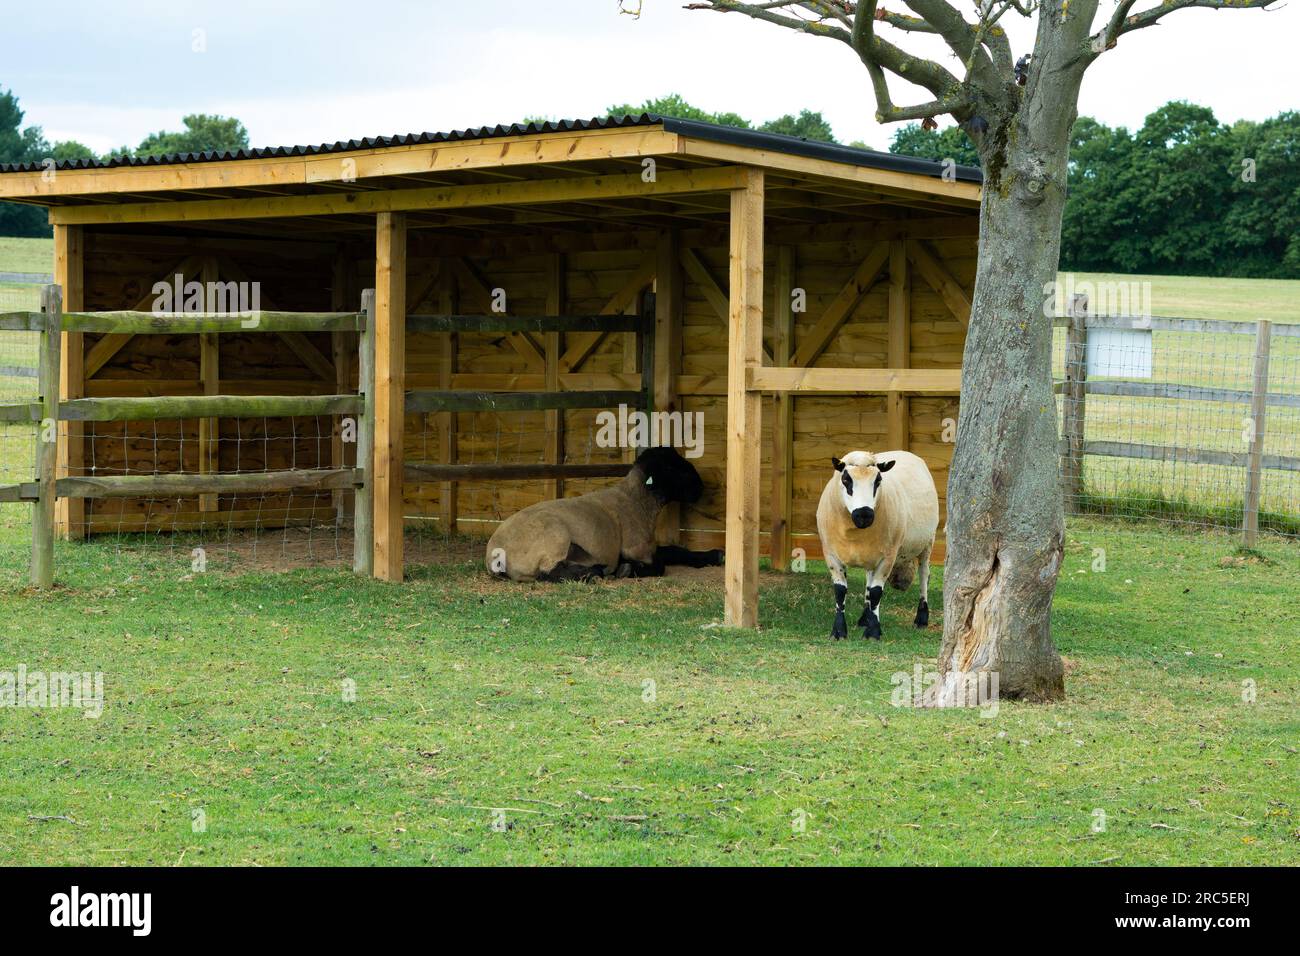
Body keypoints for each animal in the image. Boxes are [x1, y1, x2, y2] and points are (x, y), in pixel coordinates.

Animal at [485, 446, 724, 582]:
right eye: (671, 468)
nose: (700, 487)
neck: (636, 501)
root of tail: (494, 554)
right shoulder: (636, 548)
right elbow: (660, 565)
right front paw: (627, 570)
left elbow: (675, 551)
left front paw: (715, 555)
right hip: (554, 535)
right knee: (548, 572)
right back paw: (595, 573)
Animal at [815, 449, 939, 640]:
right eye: (846, 479)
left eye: (878, 480)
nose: (864, 515)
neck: (855, 532)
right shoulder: (830, 554)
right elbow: (840, 591)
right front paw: (839, 631)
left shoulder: (888, 556)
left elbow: (876, 592)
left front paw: (873, 632)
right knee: (869, 578)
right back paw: (865, 617)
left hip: (927, 542)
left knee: (924, 575)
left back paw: (921, 619)